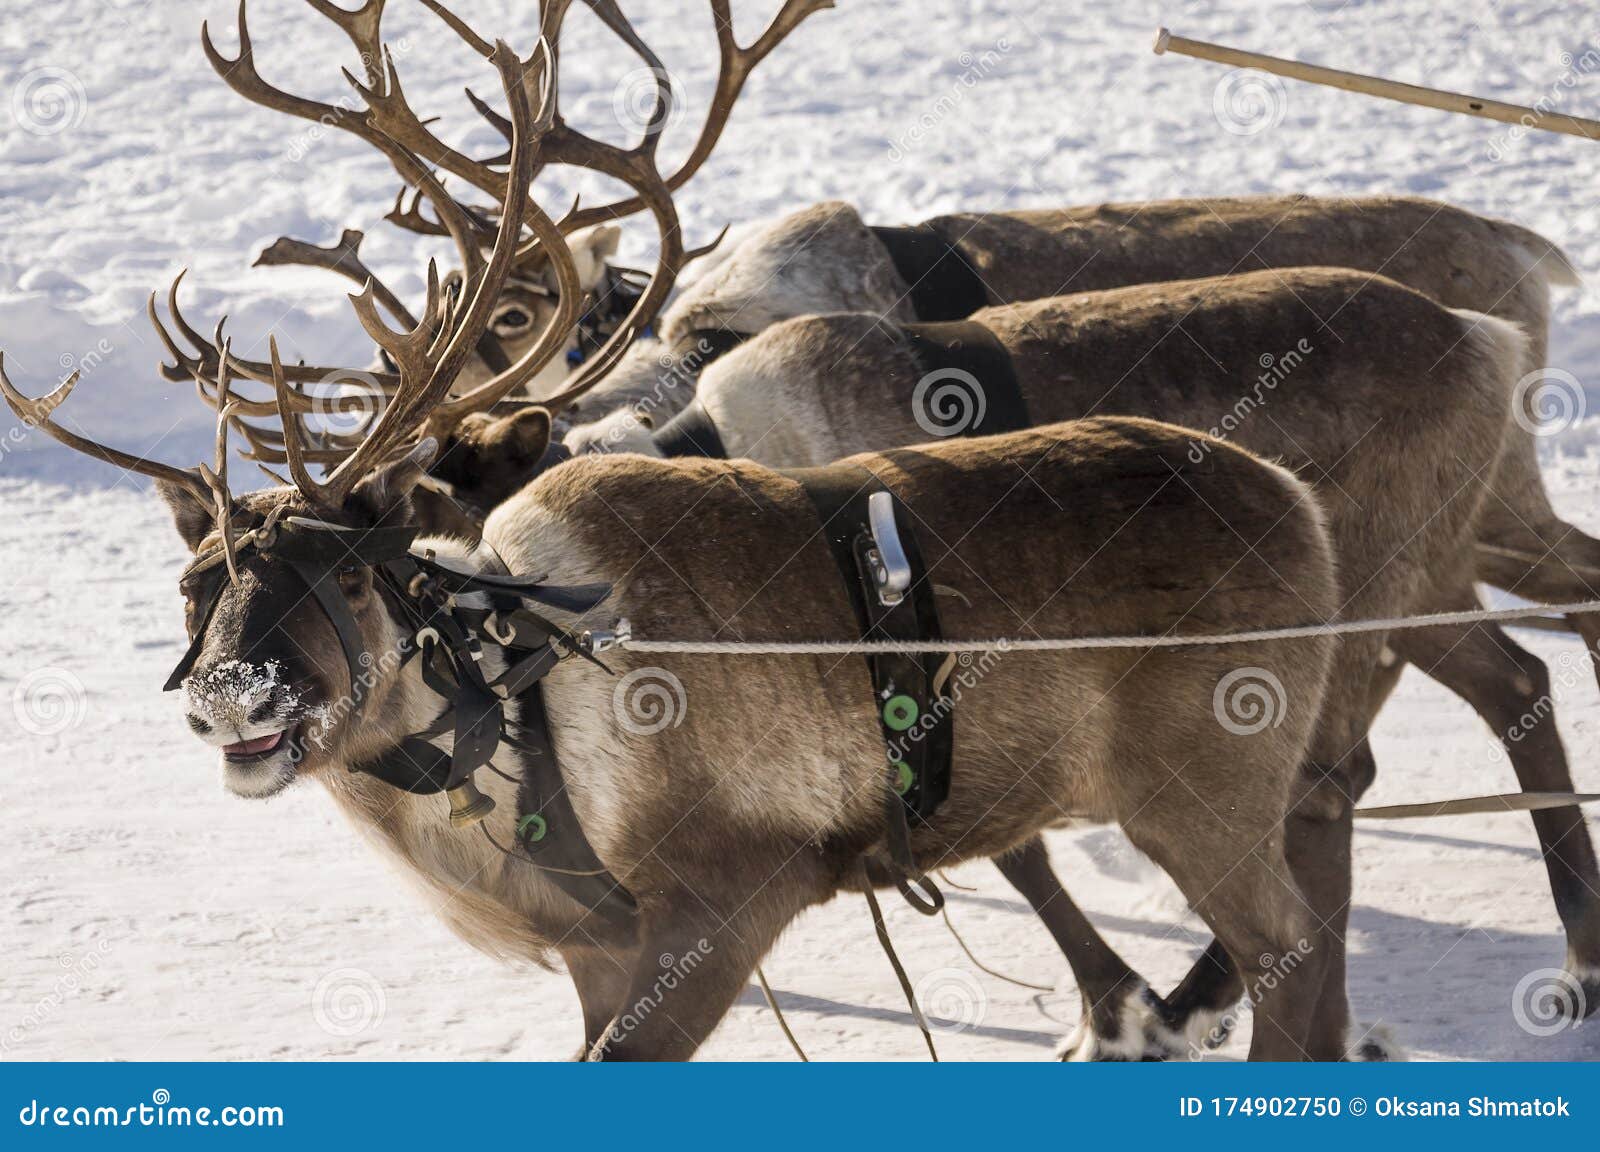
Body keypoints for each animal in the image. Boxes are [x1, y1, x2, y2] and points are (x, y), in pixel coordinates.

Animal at [3, 0, 1356, 1063]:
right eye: (195, 585)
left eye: (342, 575)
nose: (227, 696)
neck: (517, 710)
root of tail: (1293, 508)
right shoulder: (597, 946)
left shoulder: (733, 893)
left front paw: (1117, 1013)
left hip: (1199, 784)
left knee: (1290, 945)